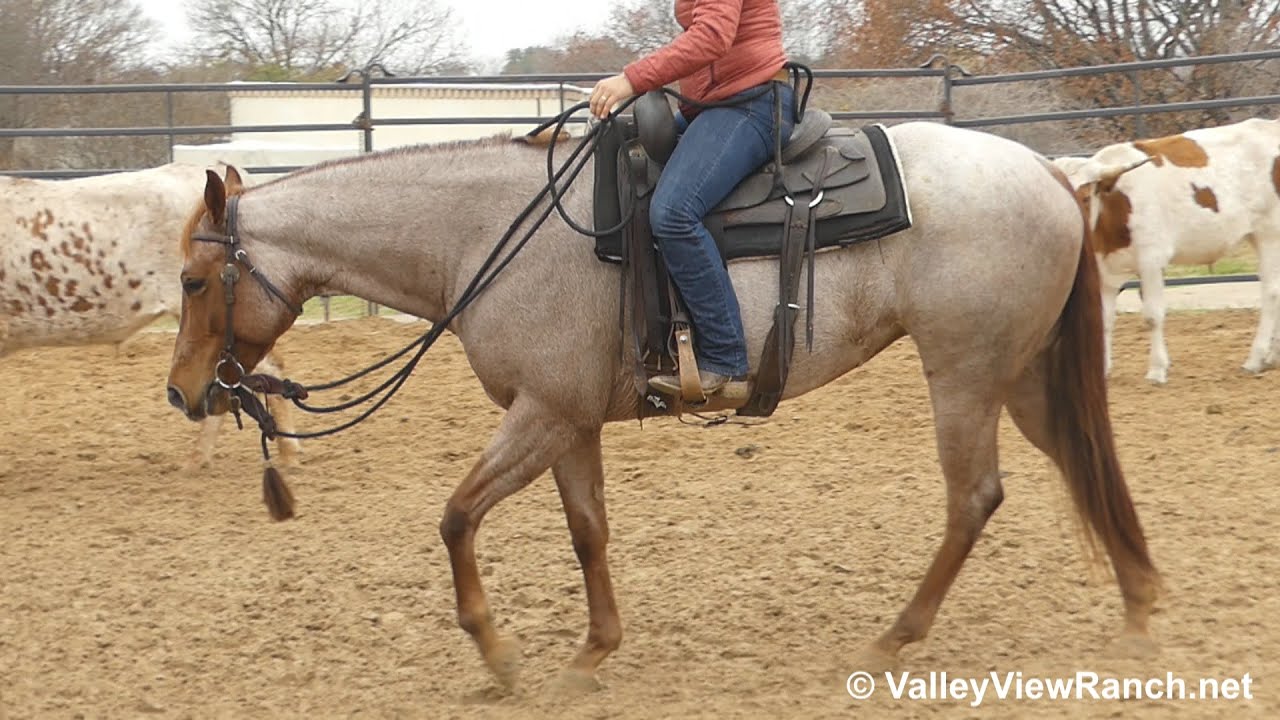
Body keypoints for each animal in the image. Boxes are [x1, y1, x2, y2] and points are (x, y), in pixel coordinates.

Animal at [1054, 117, 1280, 384]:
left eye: (1086, 197)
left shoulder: (1151, 261)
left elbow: (1153, 316)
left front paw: (1157, 370)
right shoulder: (1104, 272)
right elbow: (1104, 320)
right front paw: (1103, 370)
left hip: (1269, 234)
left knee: (1270, 292)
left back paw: (1255, 359)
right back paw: (1272, 356)